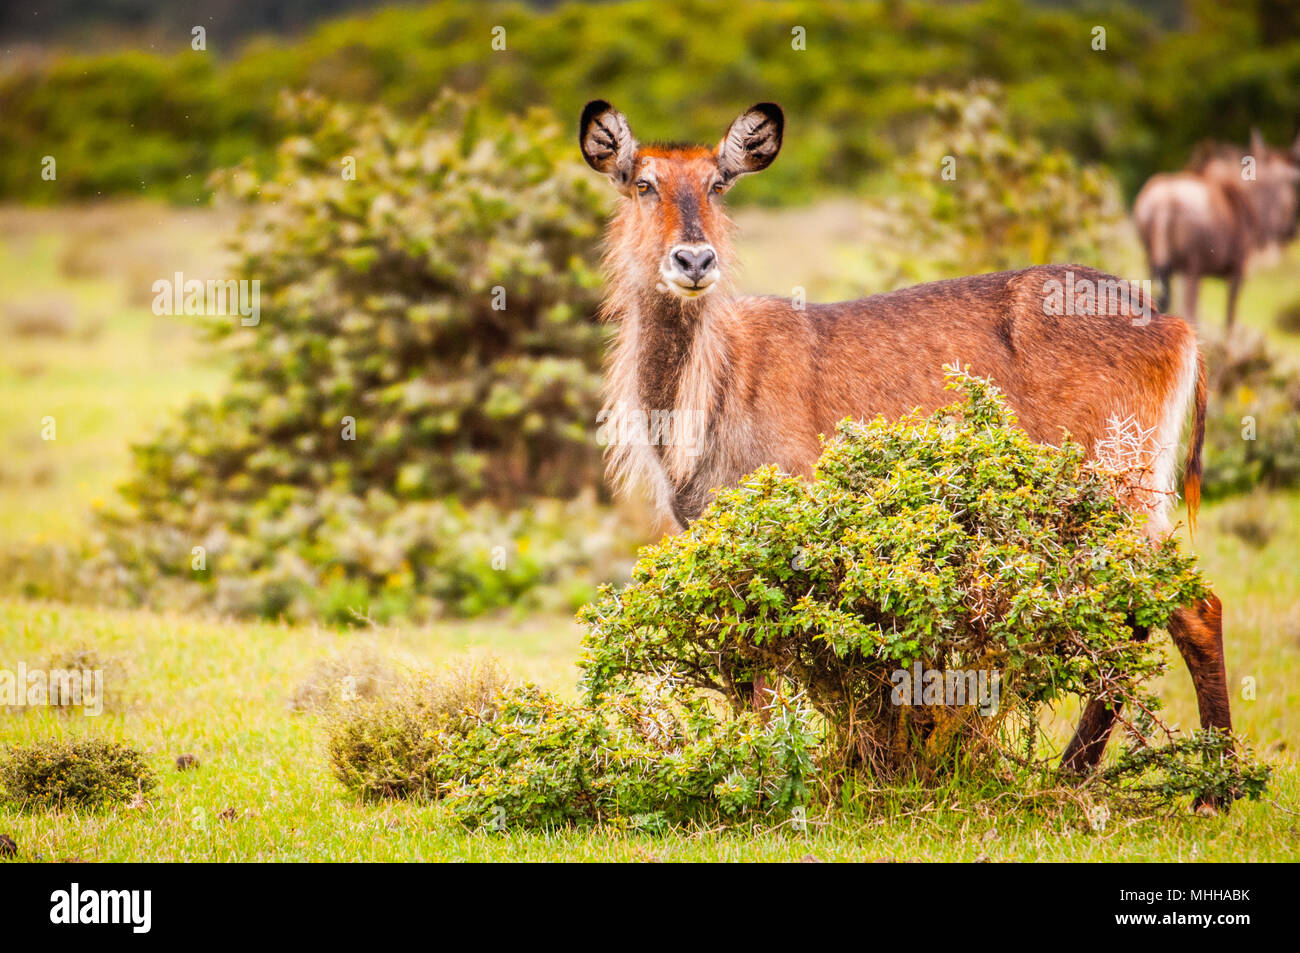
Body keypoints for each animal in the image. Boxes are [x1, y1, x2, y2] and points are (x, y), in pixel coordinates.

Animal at [580, 99, 1233, 808]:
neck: (710, 388)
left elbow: (769, 673)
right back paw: (1080, 773)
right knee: (1142, 613)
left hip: (1116, 488)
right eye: (642, 183)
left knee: (1192, 608)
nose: (694, 260)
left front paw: (766, 783)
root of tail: (1174, 326)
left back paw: (1214, 788)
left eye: (718, 184)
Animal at [1134, 128, 1300, 328]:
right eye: (1292, 186)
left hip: (1153, 258)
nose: (1290, 230)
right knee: (1188, 312)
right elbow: (1229, 320)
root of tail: (1162, 203)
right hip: (1192, 266)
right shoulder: (1238, 269)